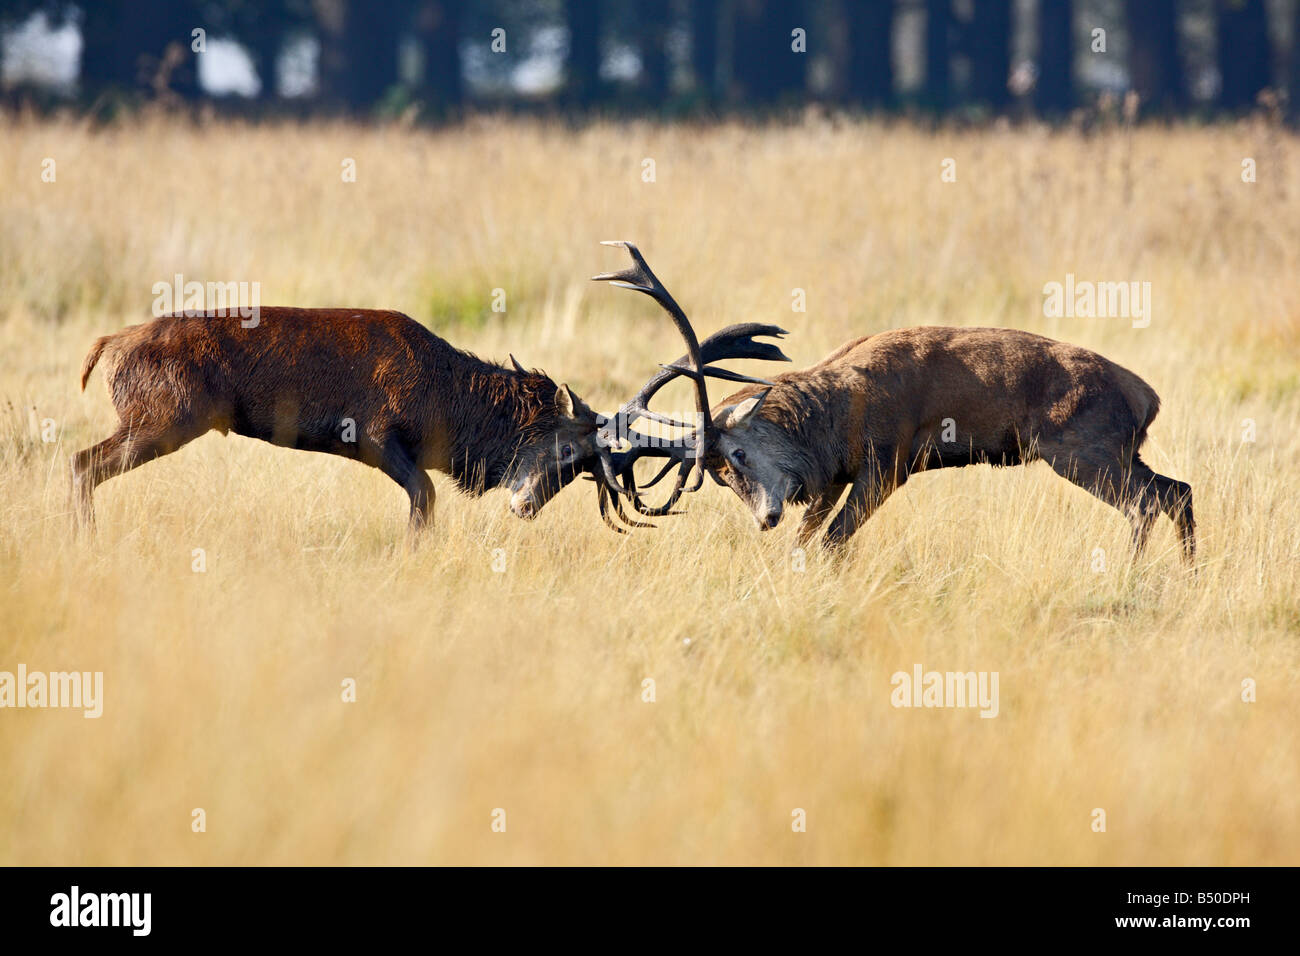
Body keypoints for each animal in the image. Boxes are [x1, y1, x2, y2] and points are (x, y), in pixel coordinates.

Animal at [586, 243, 1196, 567]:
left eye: (735, 455)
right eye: (714, 477)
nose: (765, 518)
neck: (832, 424)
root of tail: (1148, 396)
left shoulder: (890, 460)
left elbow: (831, 543)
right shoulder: (833, 477)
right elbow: (807, 540)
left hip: (1081, 448)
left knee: (1146, 504)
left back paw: (1128, 576)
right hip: (1121, 450)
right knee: (1178, 490)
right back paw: (1187, 575)